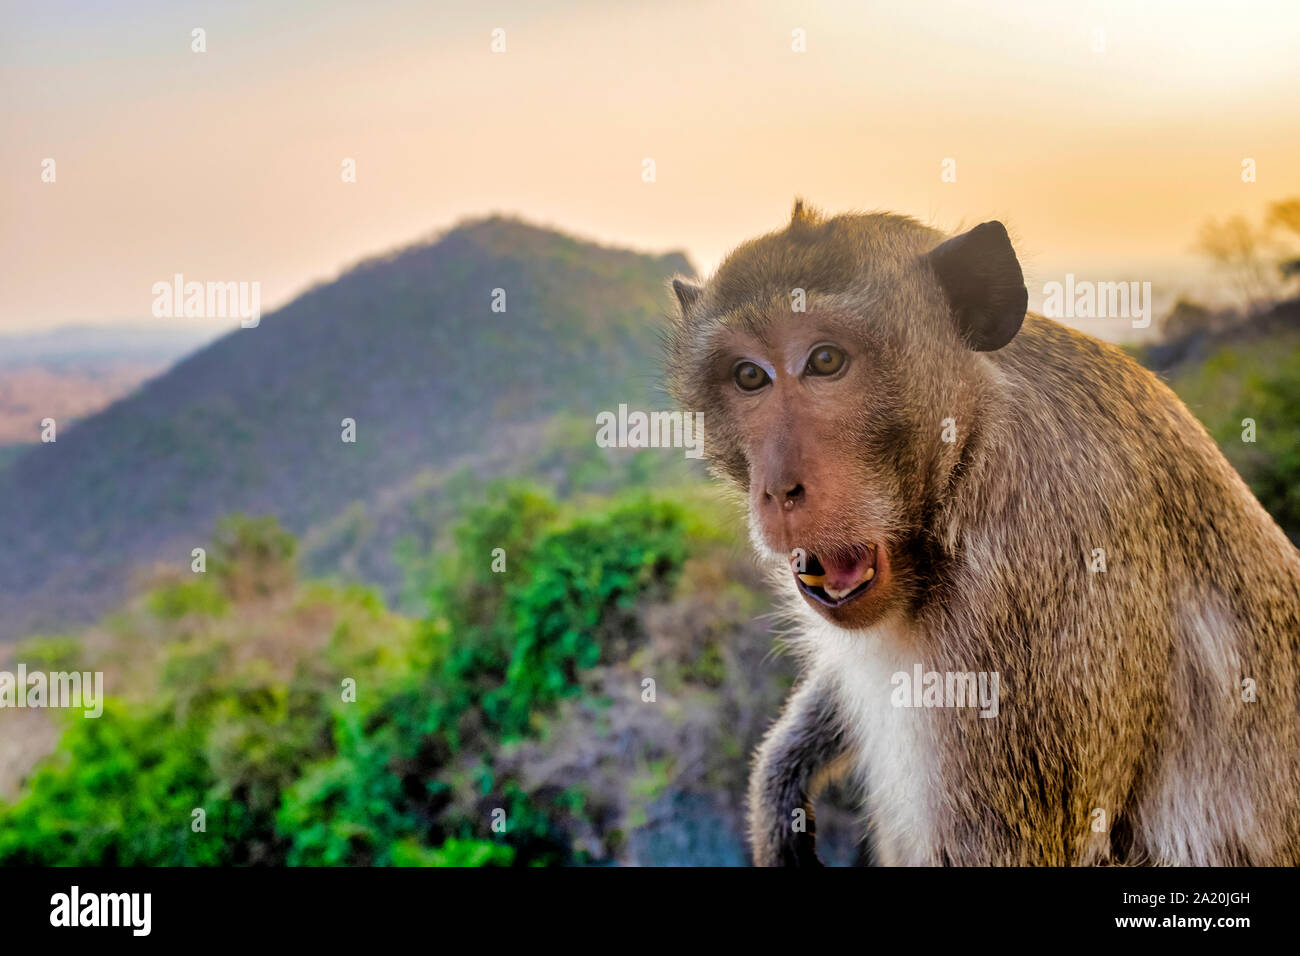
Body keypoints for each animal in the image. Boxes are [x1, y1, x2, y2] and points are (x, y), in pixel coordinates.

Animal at [665, 200, 1300, 866]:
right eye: (749, 376)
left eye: (826, 361)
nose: (779, 489)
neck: (968, 447)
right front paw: (780, 777)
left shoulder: (1036, 577)